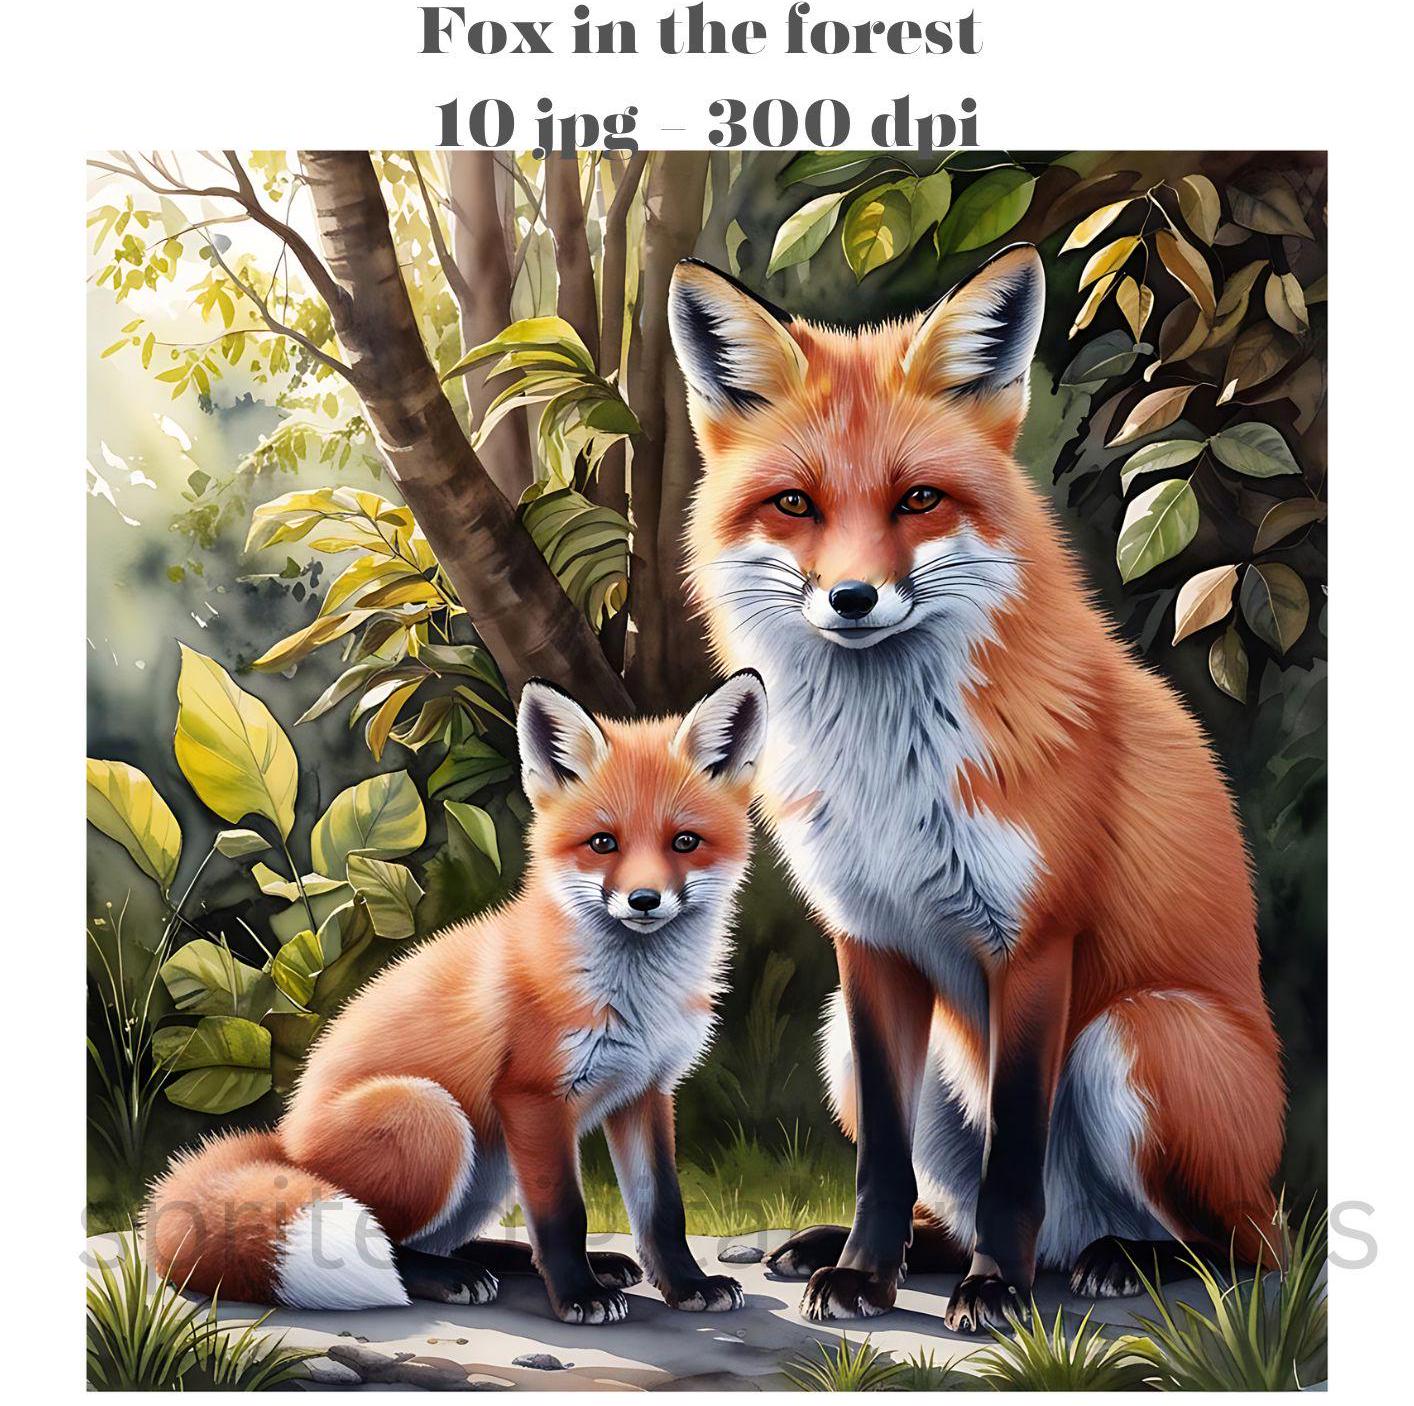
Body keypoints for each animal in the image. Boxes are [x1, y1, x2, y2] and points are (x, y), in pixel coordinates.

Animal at [147, 670, 767, 1323]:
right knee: (383, 1245)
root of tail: (285, 1145)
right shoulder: (533, 1097)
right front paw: (578, 1295)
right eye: (603, 843)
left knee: (455, 1239)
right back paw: (453, 1278)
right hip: (433, 1117)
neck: (636, 997)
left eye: (685, 842)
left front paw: (687, 1285)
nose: (644, 900)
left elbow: (663, 1211)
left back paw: (541, 1263)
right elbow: (563, 1215)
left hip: (489, 1165)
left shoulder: (644, 1092)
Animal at [667, 246, 1285, 1333]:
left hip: (1138, 1035)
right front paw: (863, 1275)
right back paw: (869, 1249)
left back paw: (1113, 1260)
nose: (852, 599)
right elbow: (881, 1160)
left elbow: (1013, 1160)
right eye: (795, 504)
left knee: (1233, 1249)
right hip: (841, 1042)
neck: (888, 774)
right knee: (938, 1198)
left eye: (918, 499)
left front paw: (993, 1289)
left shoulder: (1033, 943)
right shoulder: (866, 944)